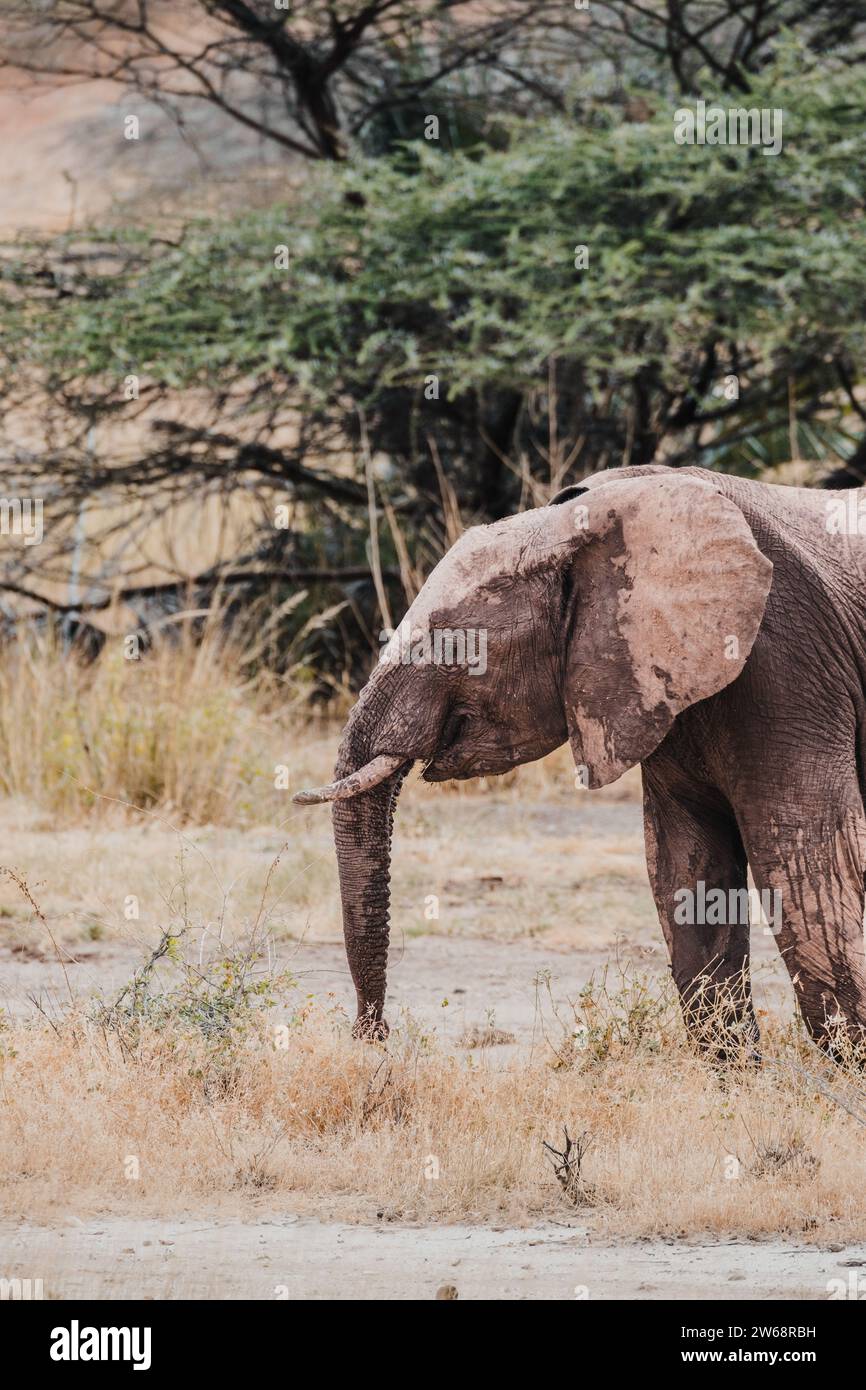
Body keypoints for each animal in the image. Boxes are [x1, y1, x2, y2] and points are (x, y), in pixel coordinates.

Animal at [294, 464, 866, 1056]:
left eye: (454, 645)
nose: (372, 1034)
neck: (578, 526)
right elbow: (685, 869)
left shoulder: (786, 667)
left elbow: (803, 863)